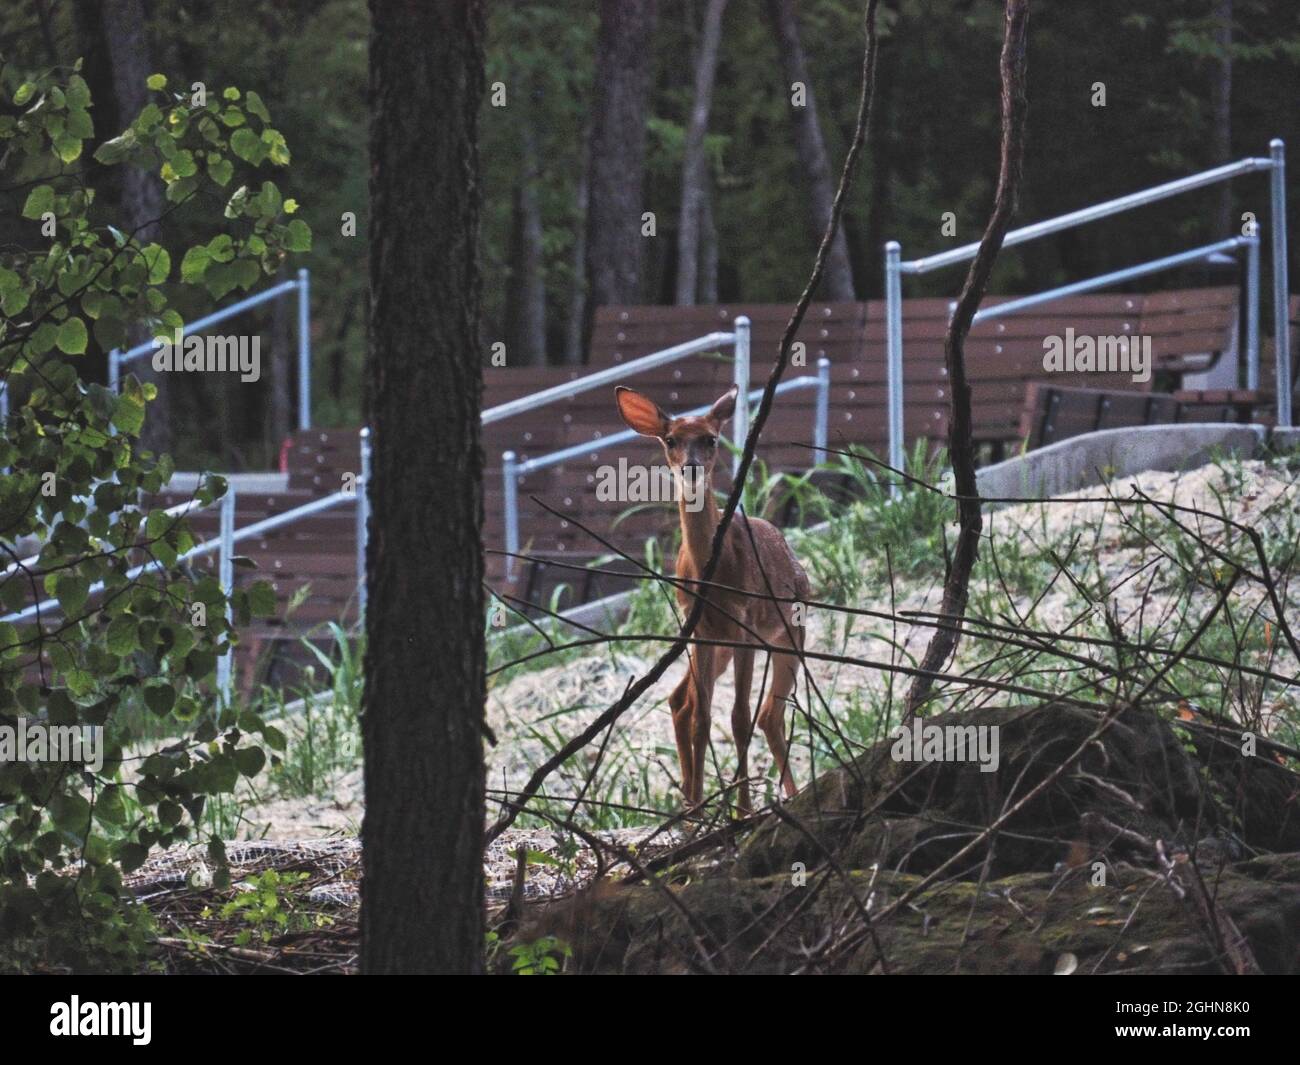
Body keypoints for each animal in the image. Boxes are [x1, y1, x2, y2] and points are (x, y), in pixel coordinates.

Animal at [615, 383, 811, 815]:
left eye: (711, 439)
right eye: (671, 440)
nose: (690, 467)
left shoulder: (745, 625)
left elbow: (738, 717)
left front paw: (742, 808)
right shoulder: (699, 628)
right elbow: (703, 718)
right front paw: (704, 806)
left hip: (790, 631)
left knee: (768, 714)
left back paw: (790, 796)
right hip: (716, 645)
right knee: (684, 700)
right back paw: (692, 803)